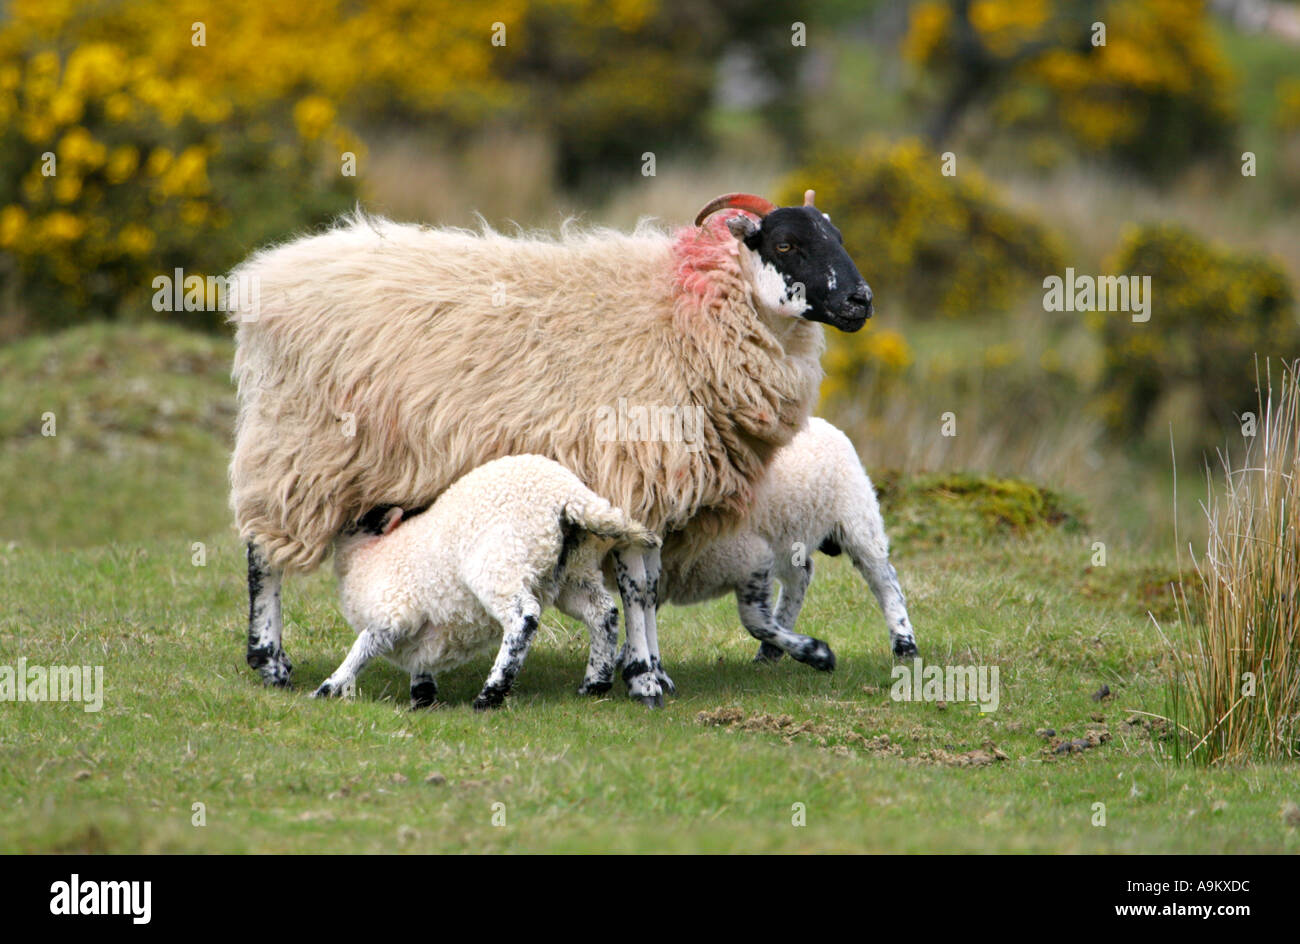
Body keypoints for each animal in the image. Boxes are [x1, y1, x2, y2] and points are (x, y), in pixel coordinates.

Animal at [313, 454, 660, 710]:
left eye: (361, 517)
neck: (368, 557)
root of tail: (571, 497)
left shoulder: (394, 611)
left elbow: (363, 646)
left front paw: (329, 688)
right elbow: (420, 663)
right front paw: (423, 697)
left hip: (499, 564)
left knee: (523, 617)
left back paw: (490, 694)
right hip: (574, 572)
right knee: (602, 612)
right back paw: (595, 683)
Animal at [658, 417, 918, 665]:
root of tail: (822, 423)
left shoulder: (747, 555)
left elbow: (754, 620)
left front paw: (819, 654)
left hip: (856, 515)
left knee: (883, 578)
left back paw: (905, 645)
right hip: (785, 540)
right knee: (801, 575)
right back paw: (771, 651)